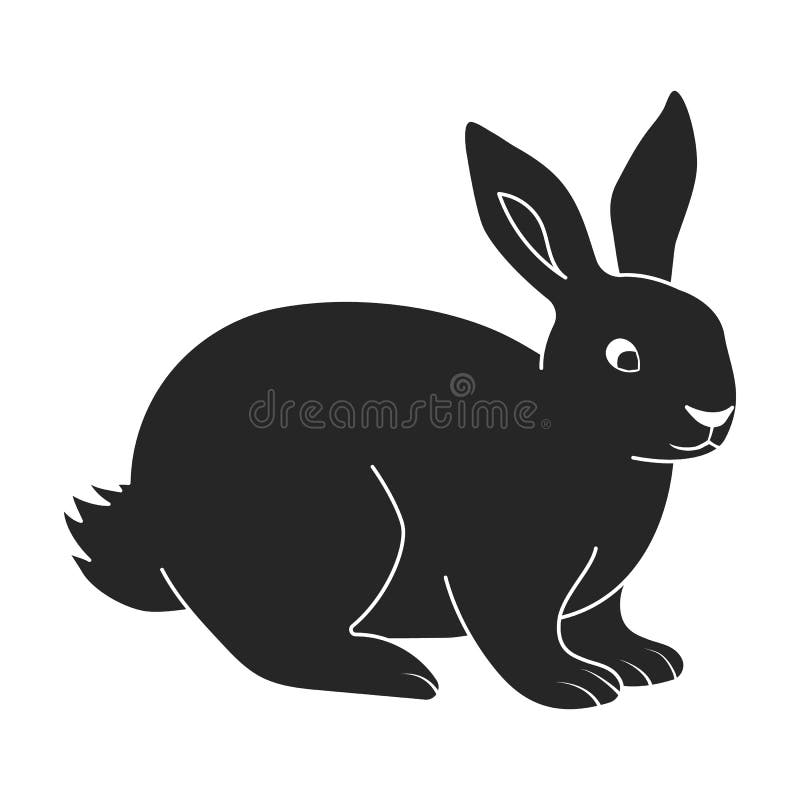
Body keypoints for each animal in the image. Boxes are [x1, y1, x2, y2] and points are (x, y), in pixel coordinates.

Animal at [67, 92, 735, 709]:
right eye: (626, 356)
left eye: (715, 327)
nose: (713, 417)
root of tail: (156, 520)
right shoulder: (503, 569)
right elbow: (519, 636)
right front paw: (575, 685)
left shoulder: (599, 596)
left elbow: (601, 622)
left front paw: (645, 661)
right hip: (342, 525)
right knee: (270, 641)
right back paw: (395, 672)